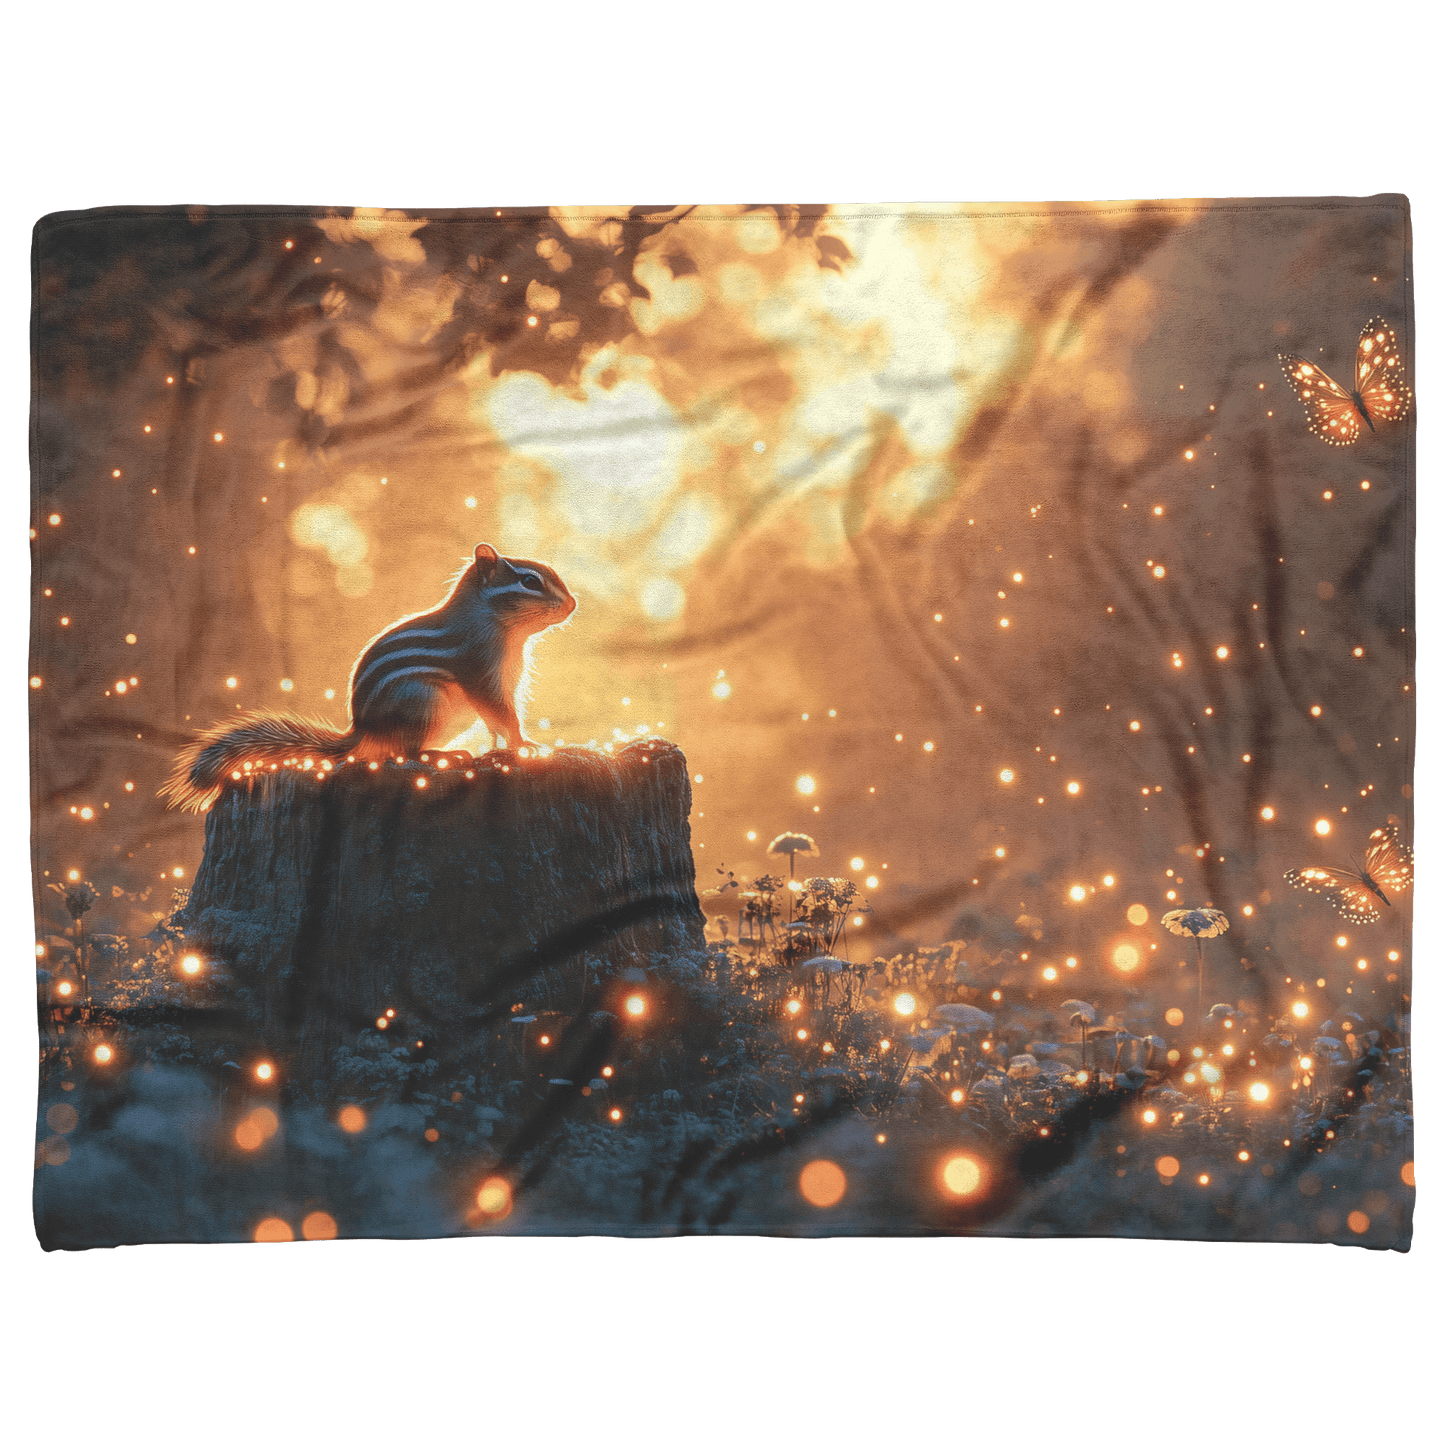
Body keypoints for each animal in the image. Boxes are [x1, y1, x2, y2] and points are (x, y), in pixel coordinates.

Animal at [162, 542, 576, 812]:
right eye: (529, 582)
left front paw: (502, 749)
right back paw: (442, 755)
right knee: (408, 753)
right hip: (422, 700)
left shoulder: (506, 681)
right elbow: (500, 713)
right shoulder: (480, 669)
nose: (573, 604)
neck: (498, 625)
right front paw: (524, 744)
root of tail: (361, 730)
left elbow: (497, 721)